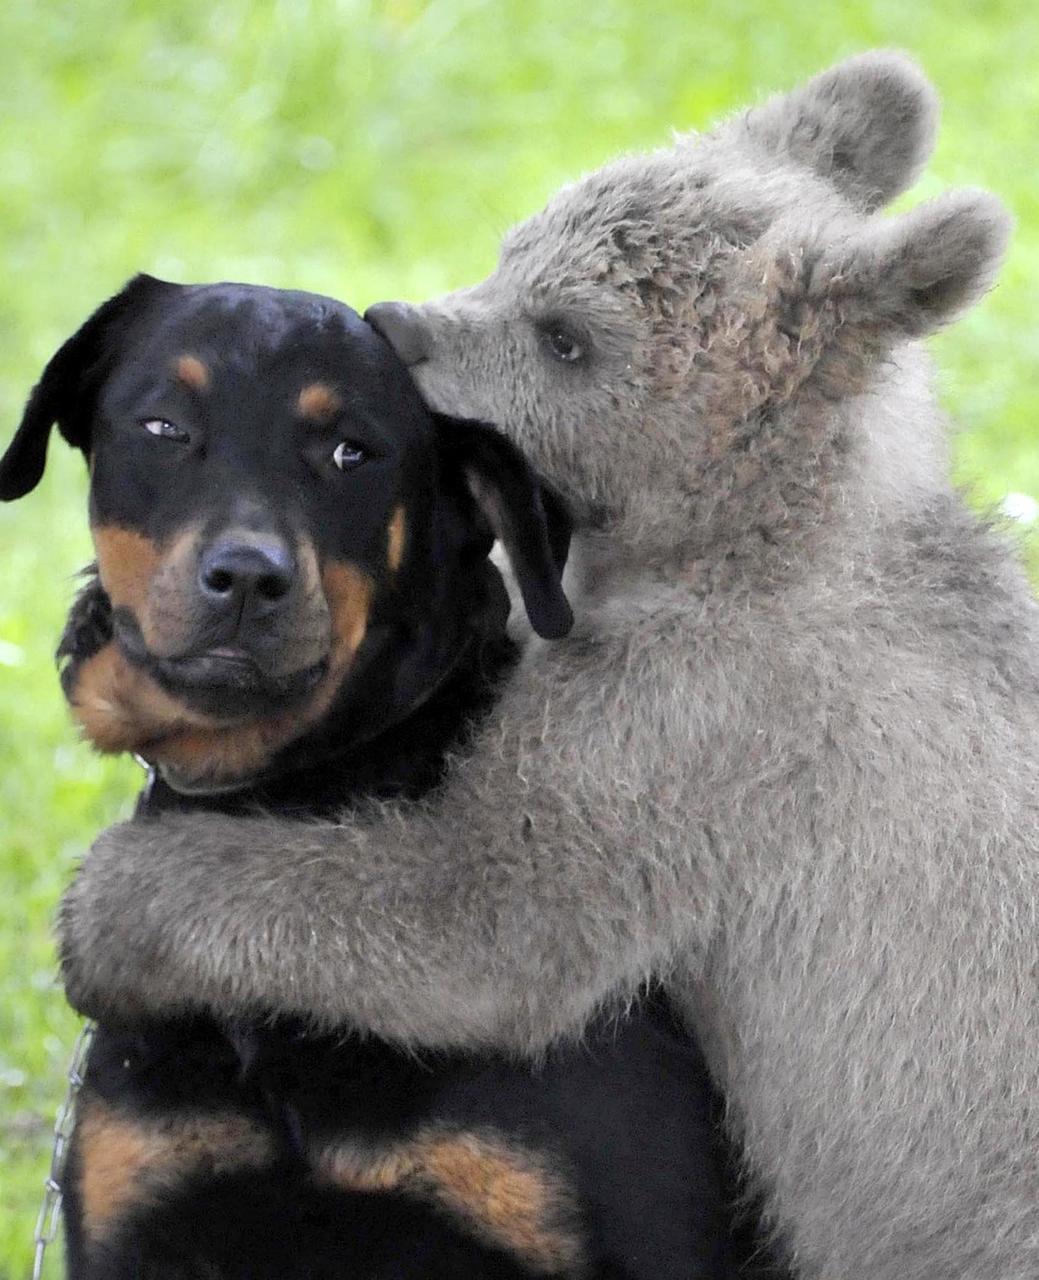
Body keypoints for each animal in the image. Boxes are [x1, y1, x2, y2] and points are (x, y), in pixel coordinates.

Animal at [58, 53, 1038, 1280]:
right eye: (513, 246)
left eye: (566, 335)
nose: (397, 321)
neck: (753, 533)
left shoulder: (704, 718)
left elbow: (483, 915)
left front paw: (110, 912)